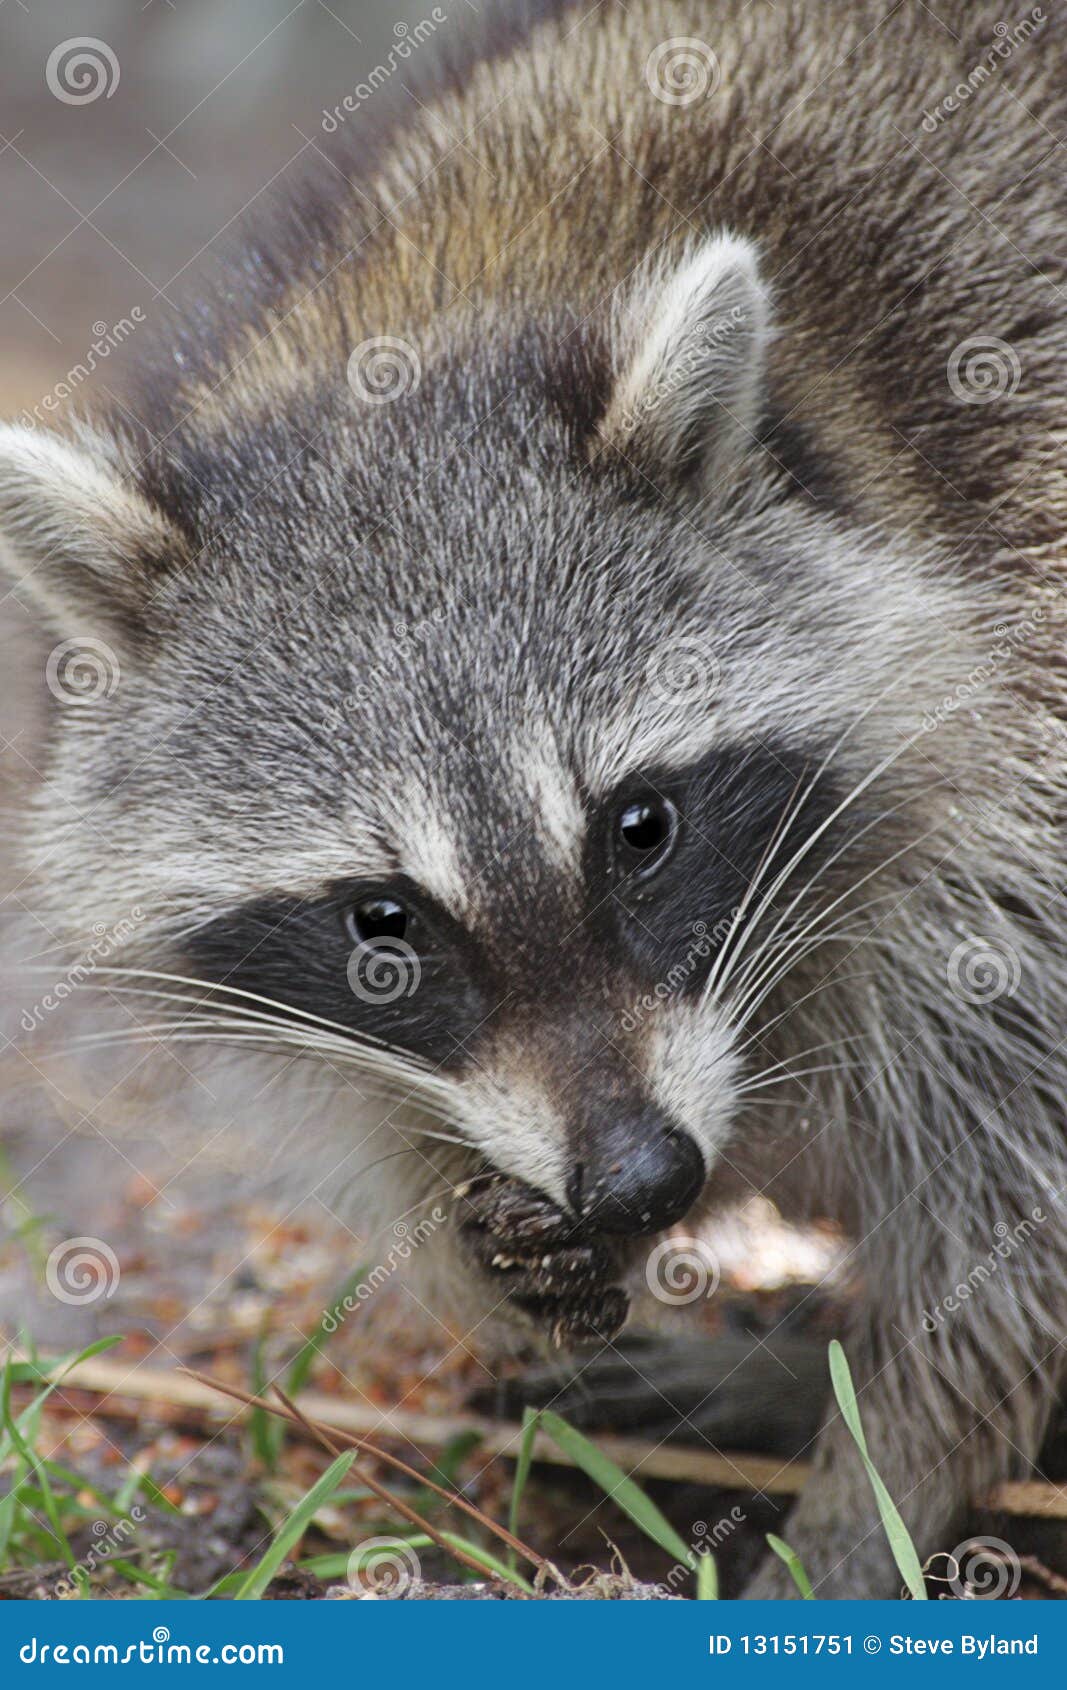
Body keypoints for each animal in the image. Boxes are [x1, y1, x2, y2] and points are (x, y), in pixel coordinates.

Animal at [2, 0, 1066, 1598]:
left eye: (641, 829)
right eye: (380, 920)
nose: (636, 1180)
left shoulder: (1017, 774)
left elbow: (1002, 1255)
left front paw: (858, 1510)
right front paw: (462, 1229)